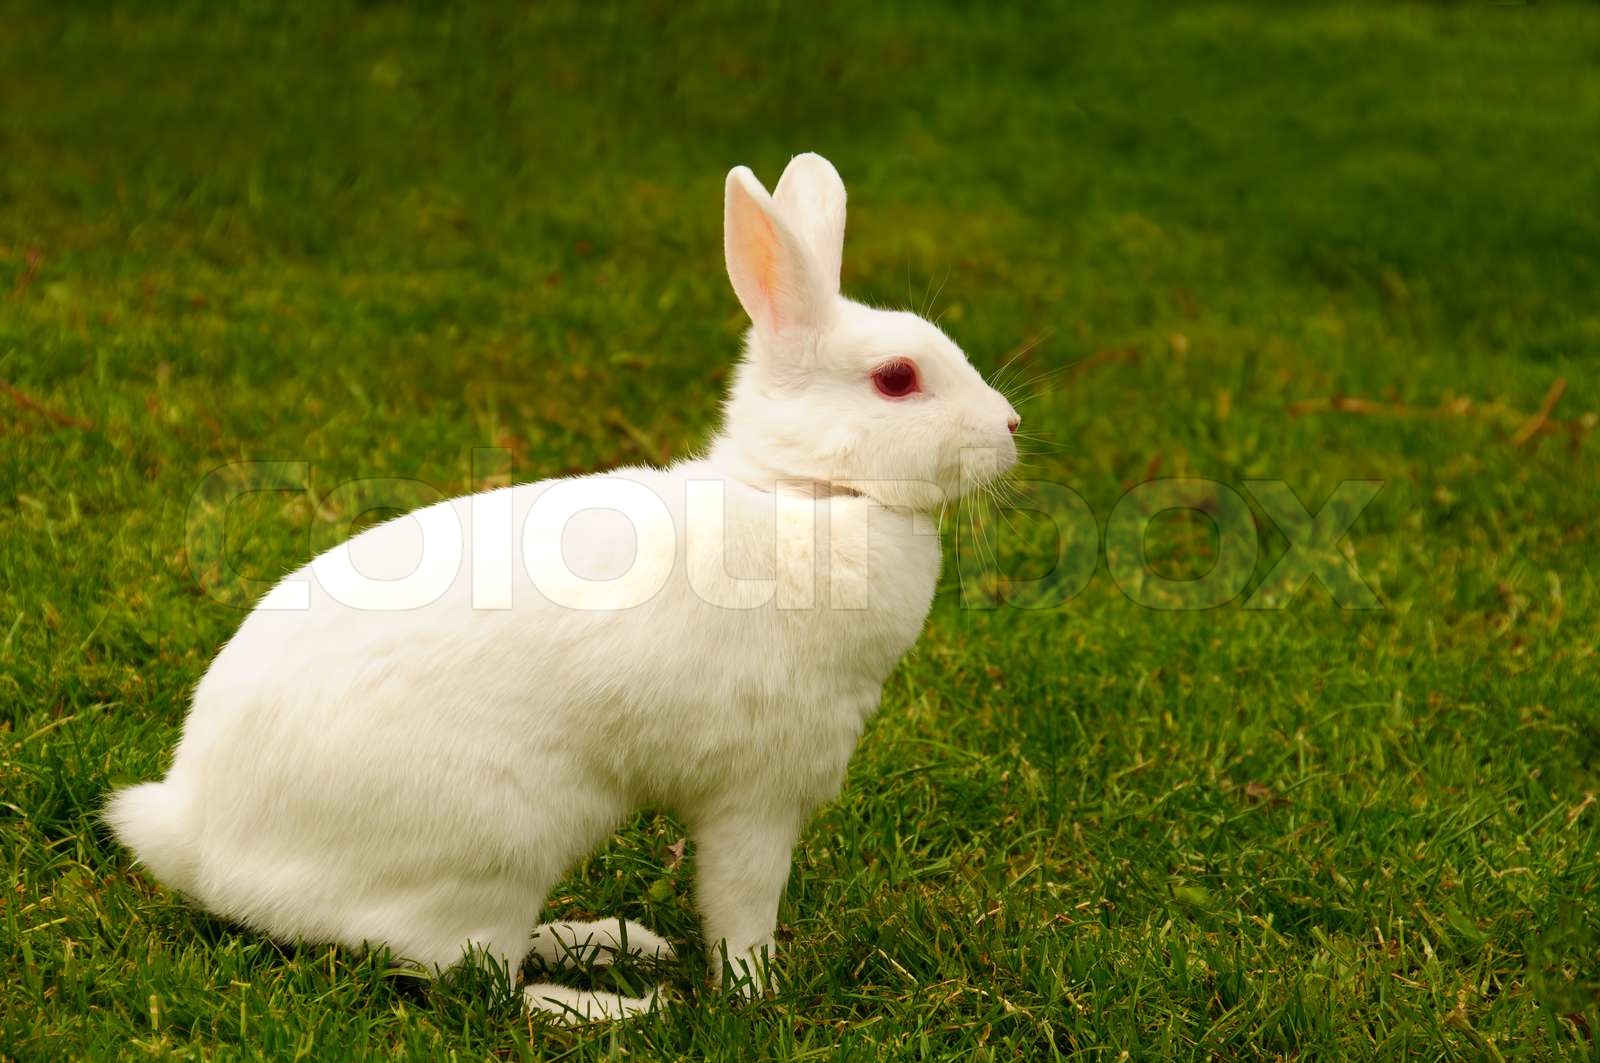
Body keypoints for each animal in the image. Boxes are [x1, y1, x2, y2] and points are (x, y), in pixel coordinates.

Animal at [106, 153, 1021, 1022]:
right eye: (897, 378)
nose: (1011, 427)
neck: (808, 492)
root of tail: (198, 840)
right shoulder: (756, 794)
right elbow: (741, 908)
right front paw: (758, 995)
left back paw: (613, 940)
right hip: (495, 849)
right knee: (478, 981)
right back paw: (616, 1003)